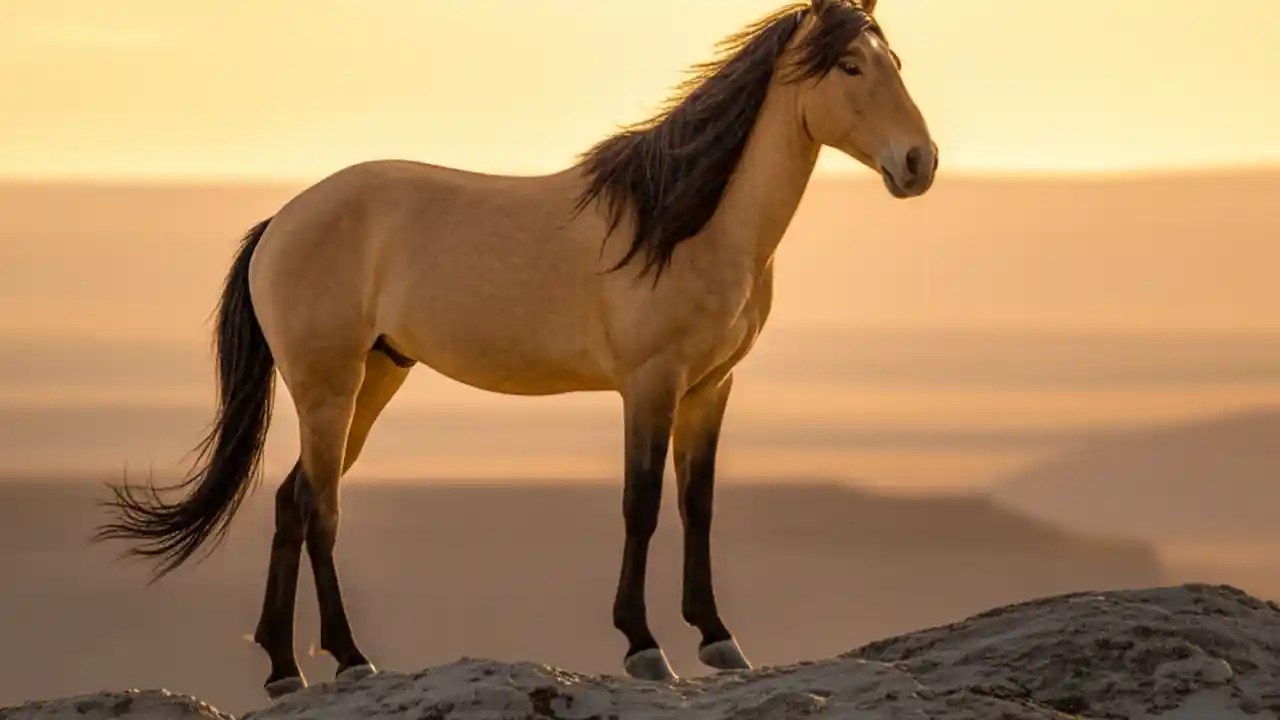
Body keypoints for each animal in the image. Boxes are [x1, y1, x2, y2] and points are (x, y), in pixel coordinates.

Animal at [96, 0, 935, 695]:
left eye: (895, 60)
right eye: (851, 66)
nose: (919, 163)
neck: (684, 224)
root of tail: (281, 222)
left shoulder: (709, 388)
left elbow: (697, 505)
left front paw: (719, 640)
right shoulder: (651, 383)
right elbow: (641, 505)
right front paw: (644, 647)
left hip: (373, 381)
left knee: (291, 501)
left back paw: (284, 668)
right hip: (328, 388)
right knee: (317, 505)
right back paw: (348, 658)